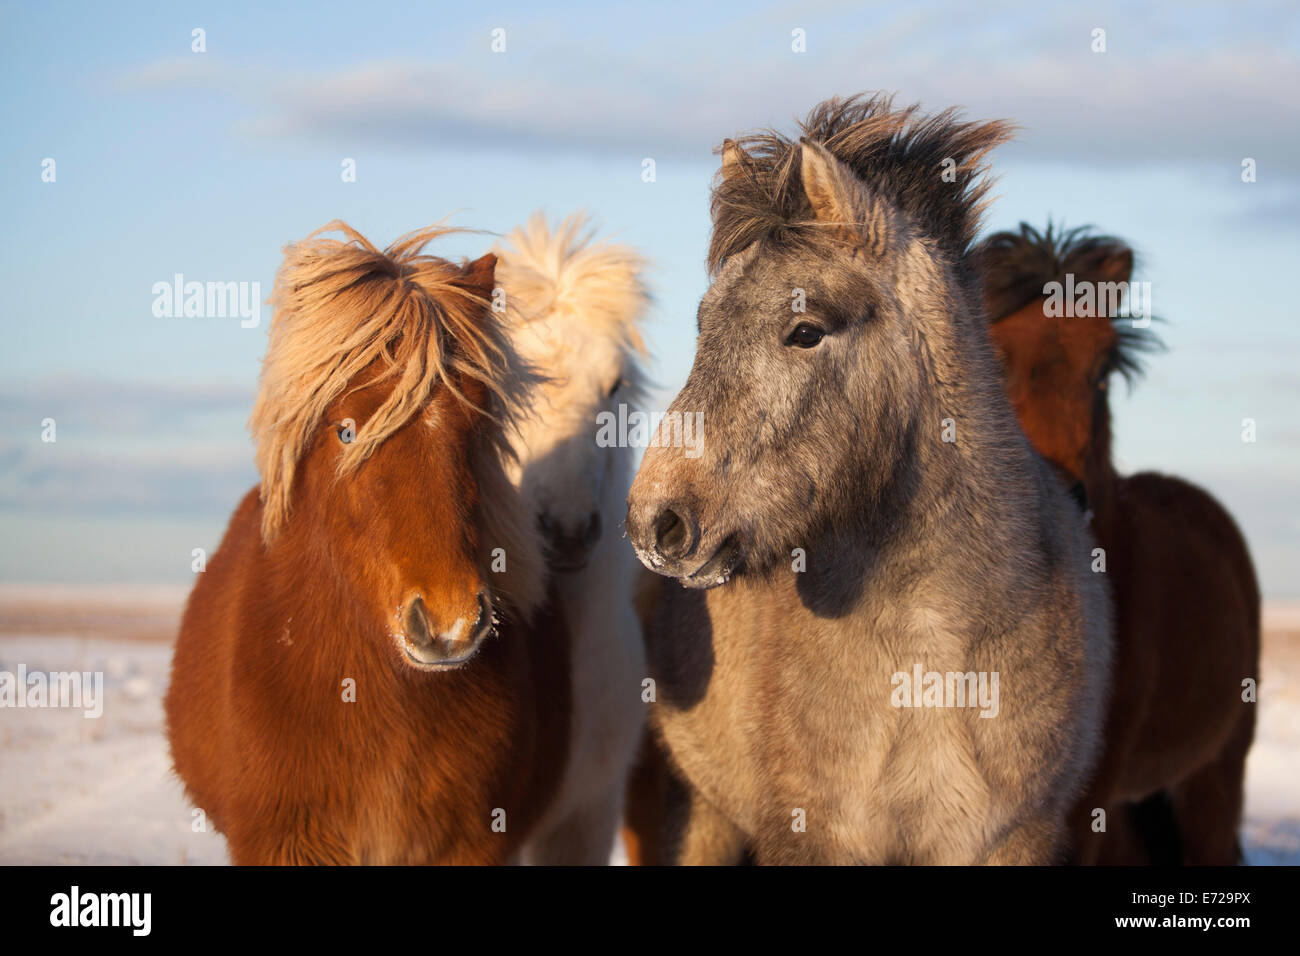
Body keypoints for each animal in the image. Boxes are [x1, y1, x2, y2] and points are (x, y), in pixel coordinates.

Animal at [624, 93, 1114, 865]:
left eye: (806, 330)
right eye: (704, 327)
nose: (656, 521)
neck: (931, 657)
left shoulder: (1012, 838)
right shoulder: (815, 835)